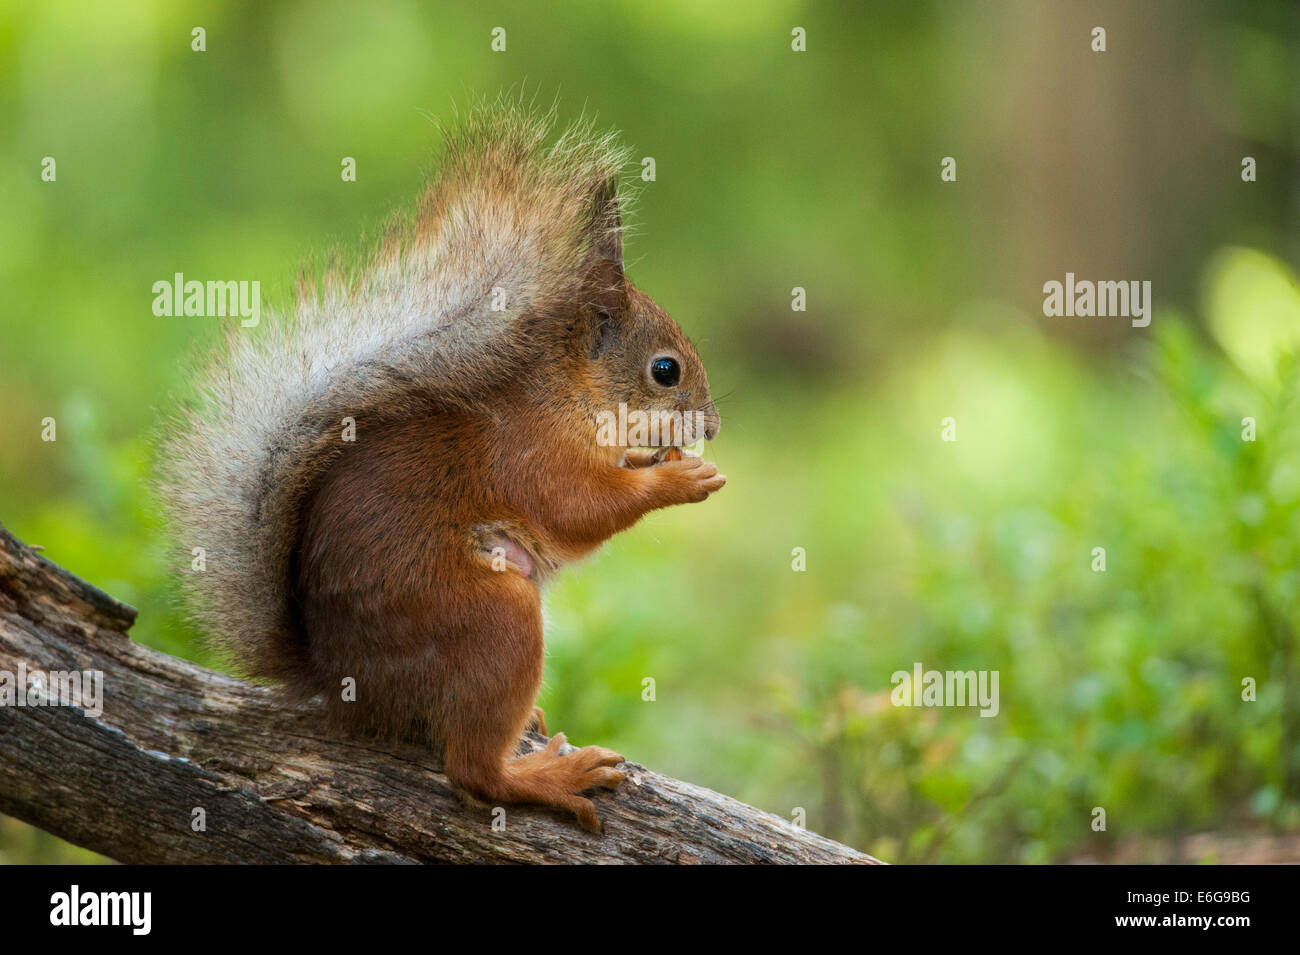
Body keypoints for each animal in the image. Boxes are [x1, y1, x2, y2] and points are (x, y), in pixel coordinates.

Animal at [160, 100, 725, 832]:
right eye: (665, 370)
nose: (711, 426)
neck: (569, 394)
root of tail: (345, 689)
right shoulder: (530, 454)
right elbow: (580, 509)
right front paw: (679, 478)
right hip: (490, 619)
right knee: (472, 772)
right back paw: (550, 776)